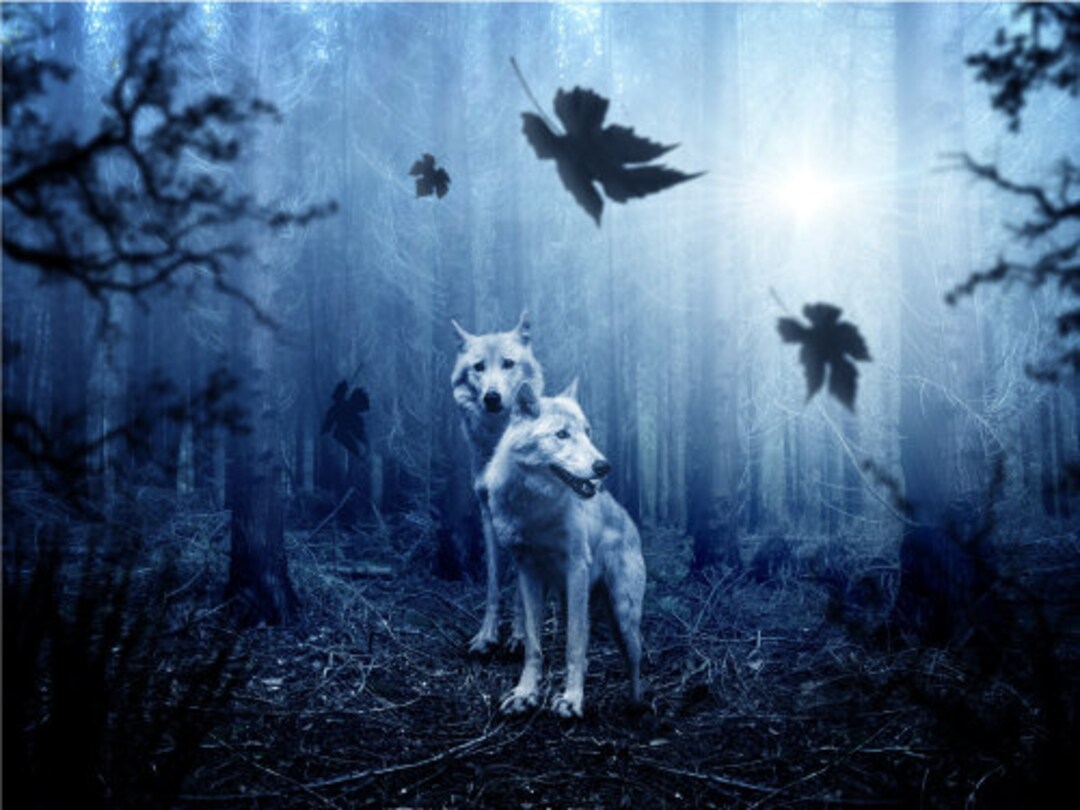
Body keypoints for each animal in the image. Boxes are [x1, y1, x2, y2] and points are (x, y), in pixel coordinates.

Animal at [451, 311, 544, 655]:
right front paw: (486, 636)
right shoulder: (487, 515)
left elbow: (520, 588)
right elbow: (493, 582)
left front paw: (519, 637)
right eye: (479, 367)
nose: (492, 397)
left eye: (508, 363)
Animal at [481, 379, 646, 718]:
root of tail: (628, 520)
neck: (534, 509)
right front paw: (525, 694)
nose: (604, 466)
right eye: (561, 434)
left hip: (623, 613)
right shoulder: (527, 572)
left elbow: (573, 645)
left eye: (588, 431)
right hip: (572, 599)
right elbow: (533, 644)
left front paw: (571, 700)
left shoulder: (576, 567)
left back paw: (636, 705)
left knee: (635, 657)